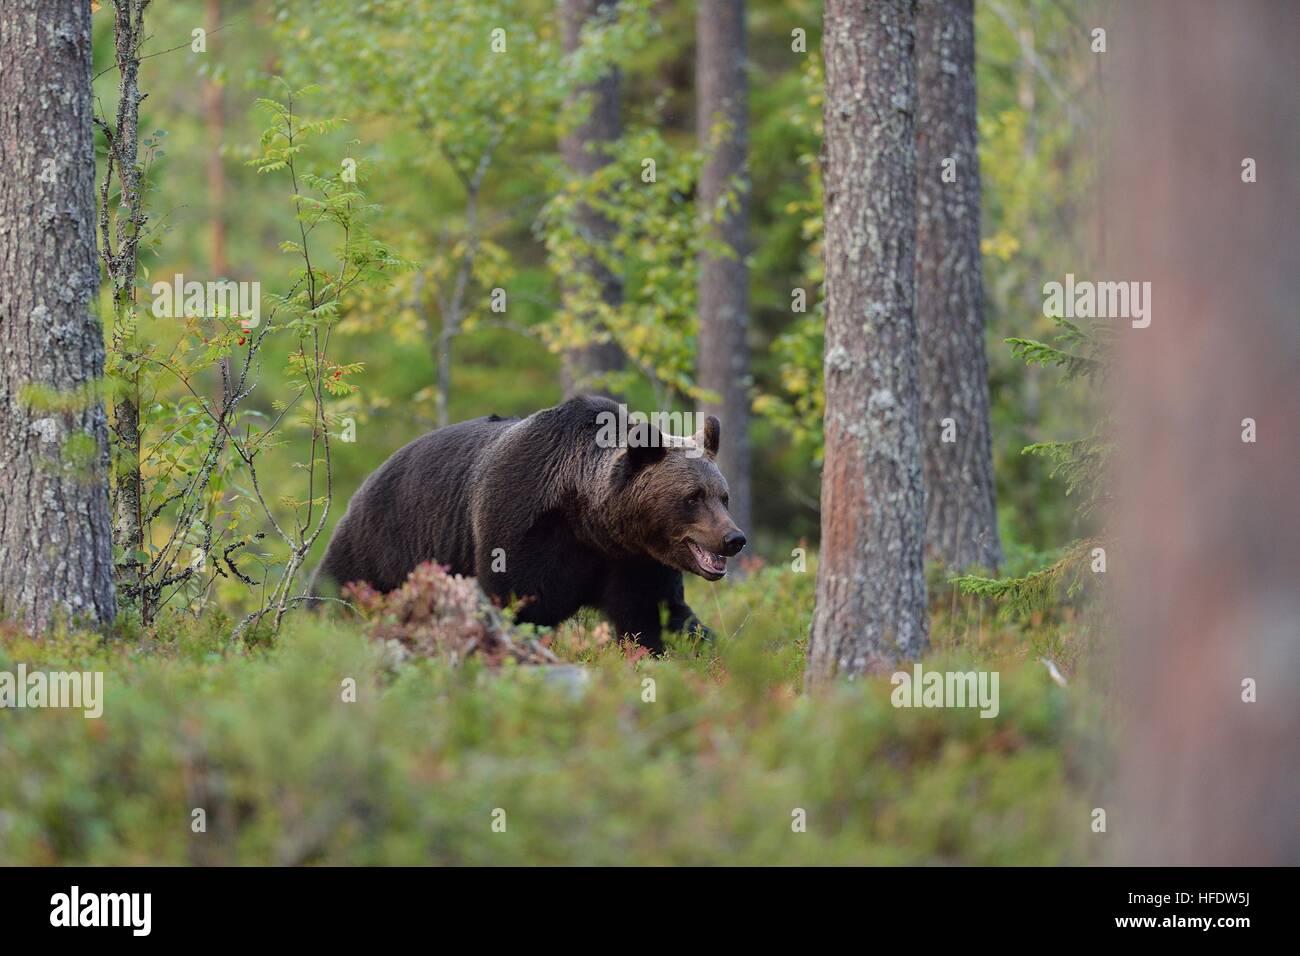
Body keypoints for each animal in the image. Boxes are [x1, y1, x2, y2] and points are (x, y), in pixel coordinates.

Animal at [312, 395, 747, 652]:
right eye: (692, 497)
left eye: (722, 495)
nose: (733, 538)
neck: (589, 521)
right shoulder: (521, 525)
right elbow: (516, 603)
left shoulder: (634, 560)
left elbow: (656, 616)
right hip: (384, 542)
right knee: (337, 588)